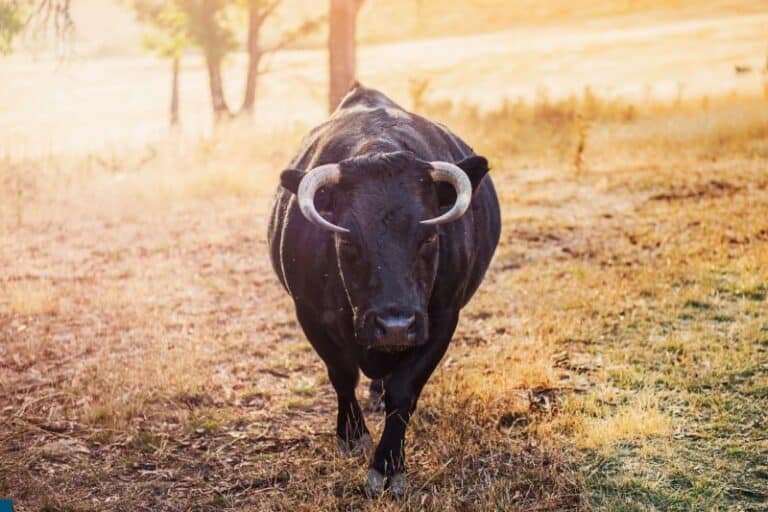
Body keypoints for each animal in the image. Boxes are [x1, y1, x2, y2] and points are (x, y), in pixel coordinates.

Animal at [267, 83, 501, 496]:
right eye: (347, 241)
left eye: (430, 237)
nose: (394, 325)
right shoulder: (309, 313)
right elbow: (342, 374)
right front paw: (352, 435)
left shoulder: (441, 318)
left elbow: (403, 390)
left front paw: (388, 466)